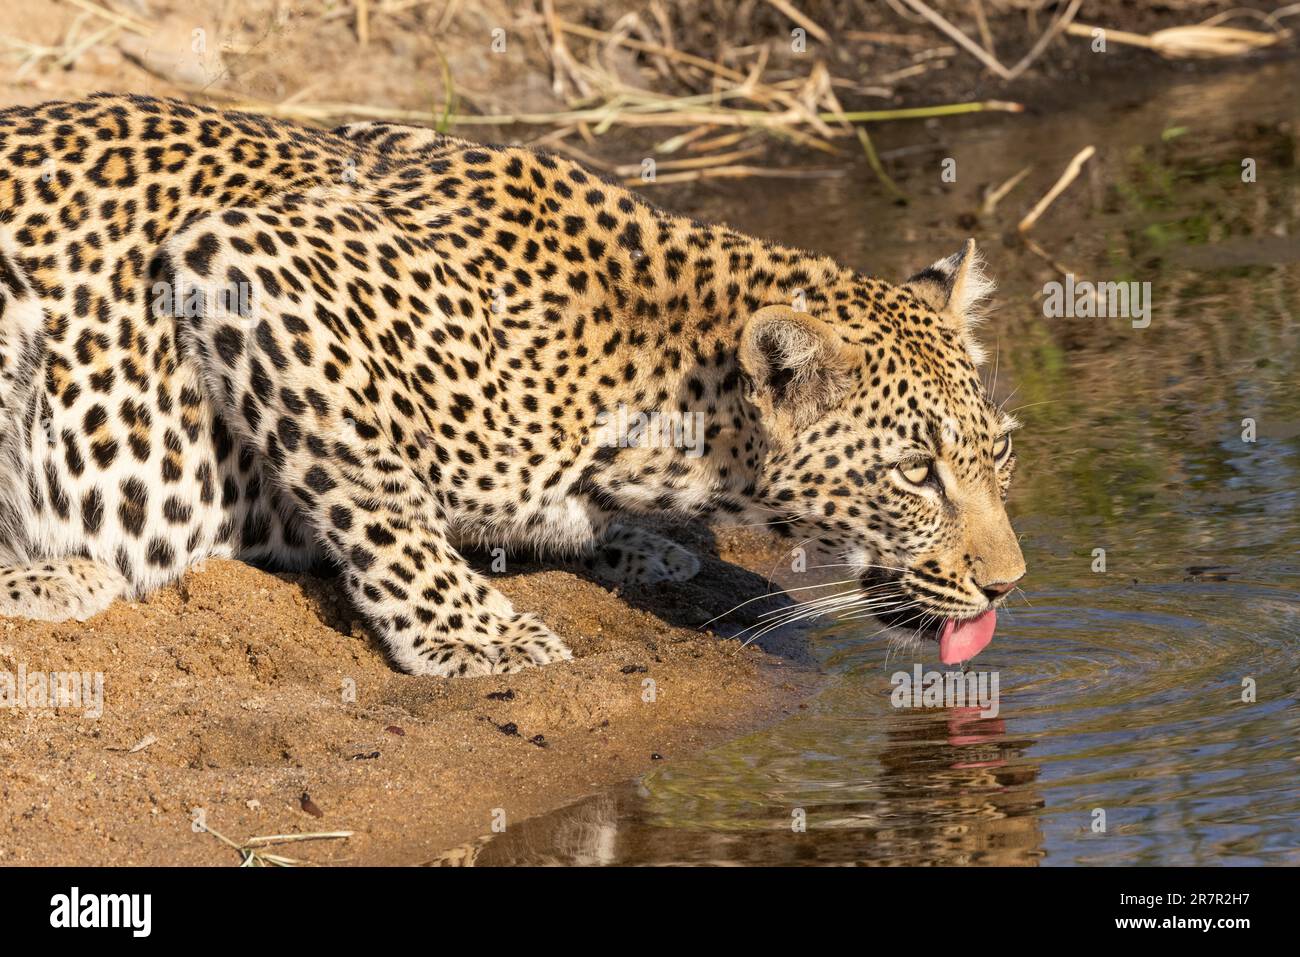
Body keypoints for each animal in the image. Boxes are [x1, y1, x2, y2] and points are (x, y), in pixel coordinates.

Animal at [0, 93, 1025, 677]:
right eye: (915, 471)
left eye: (1002, 452)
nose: (1009, 586)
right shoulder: (250, 262)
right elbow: (378, 492)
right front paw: (472, 633)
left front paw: (645, 545)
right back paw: (58, 573)